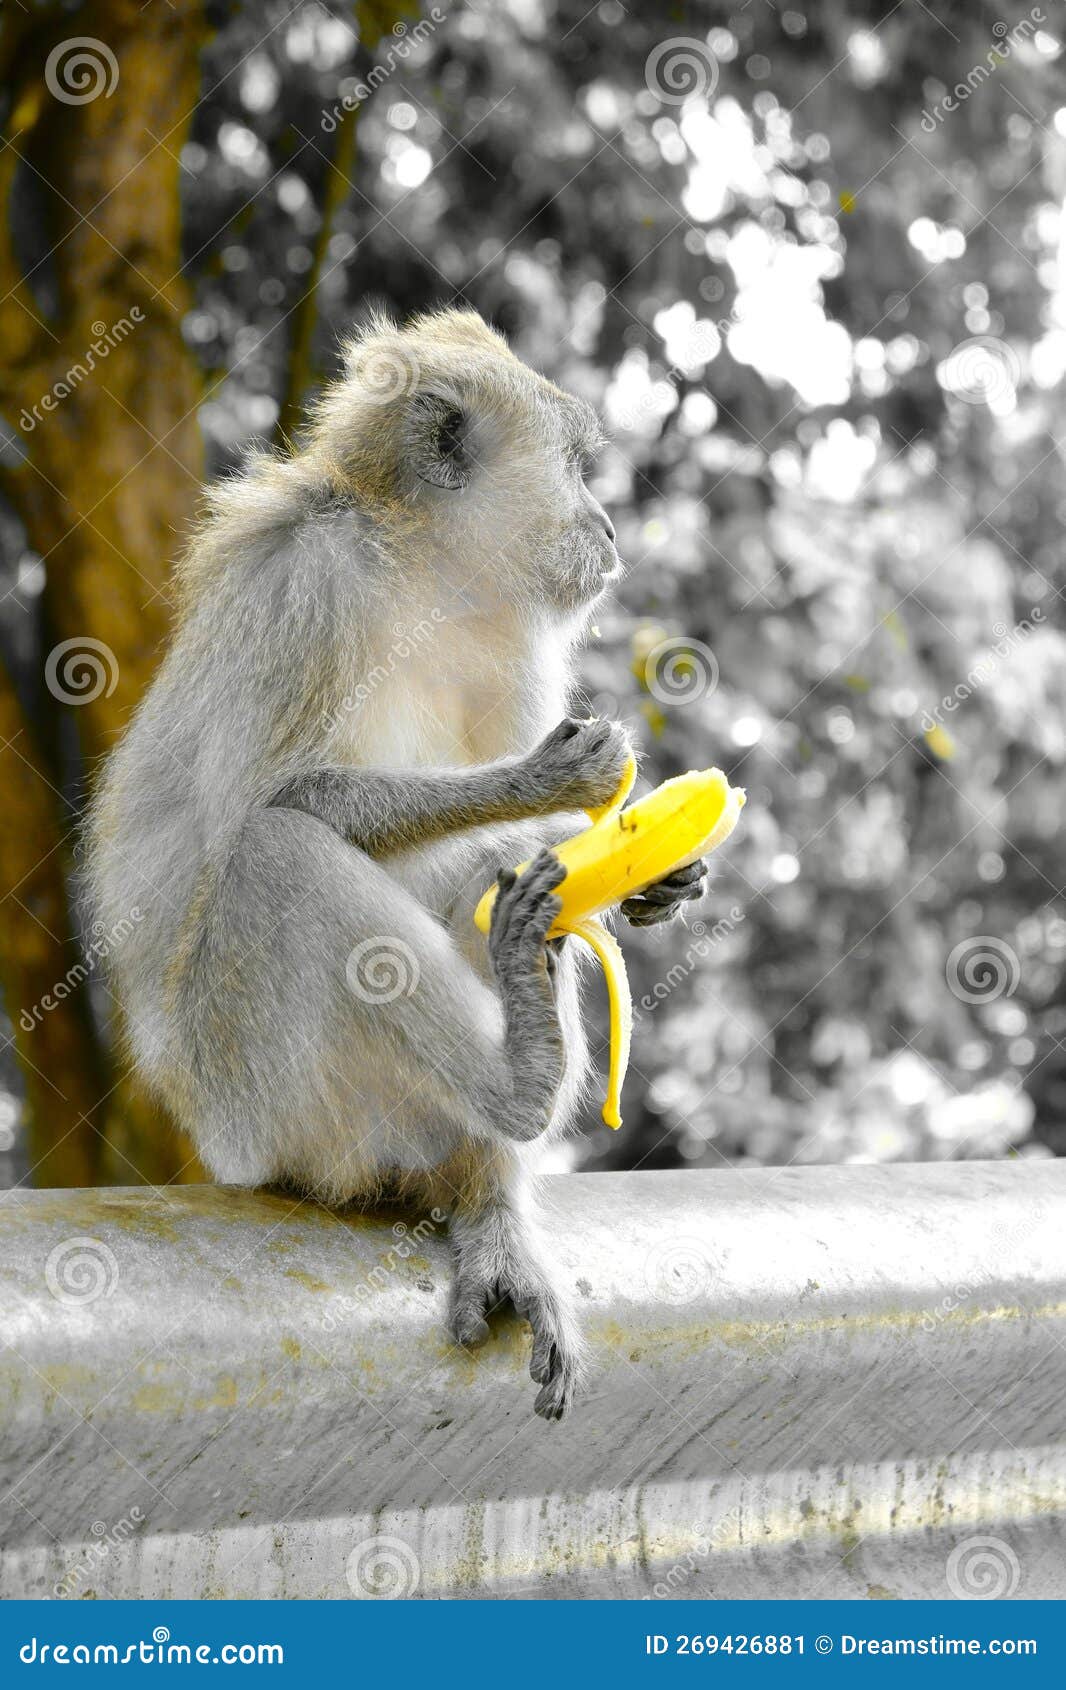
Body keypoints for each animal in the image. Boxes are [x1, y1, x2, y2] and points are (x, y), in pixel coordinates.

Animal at [87, 308, 708, 1418]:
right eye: (576, 465)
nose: (606, 527)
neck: (422, 573)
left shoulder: (508, 633)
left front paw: (655, 881)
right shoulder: (311, 586)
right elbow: (269, 802)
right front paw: (545, 780)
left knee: (482, 891)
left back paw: (490, 1187)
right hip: (265, 1103)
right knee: (281, 852)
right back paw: (519, 1080)